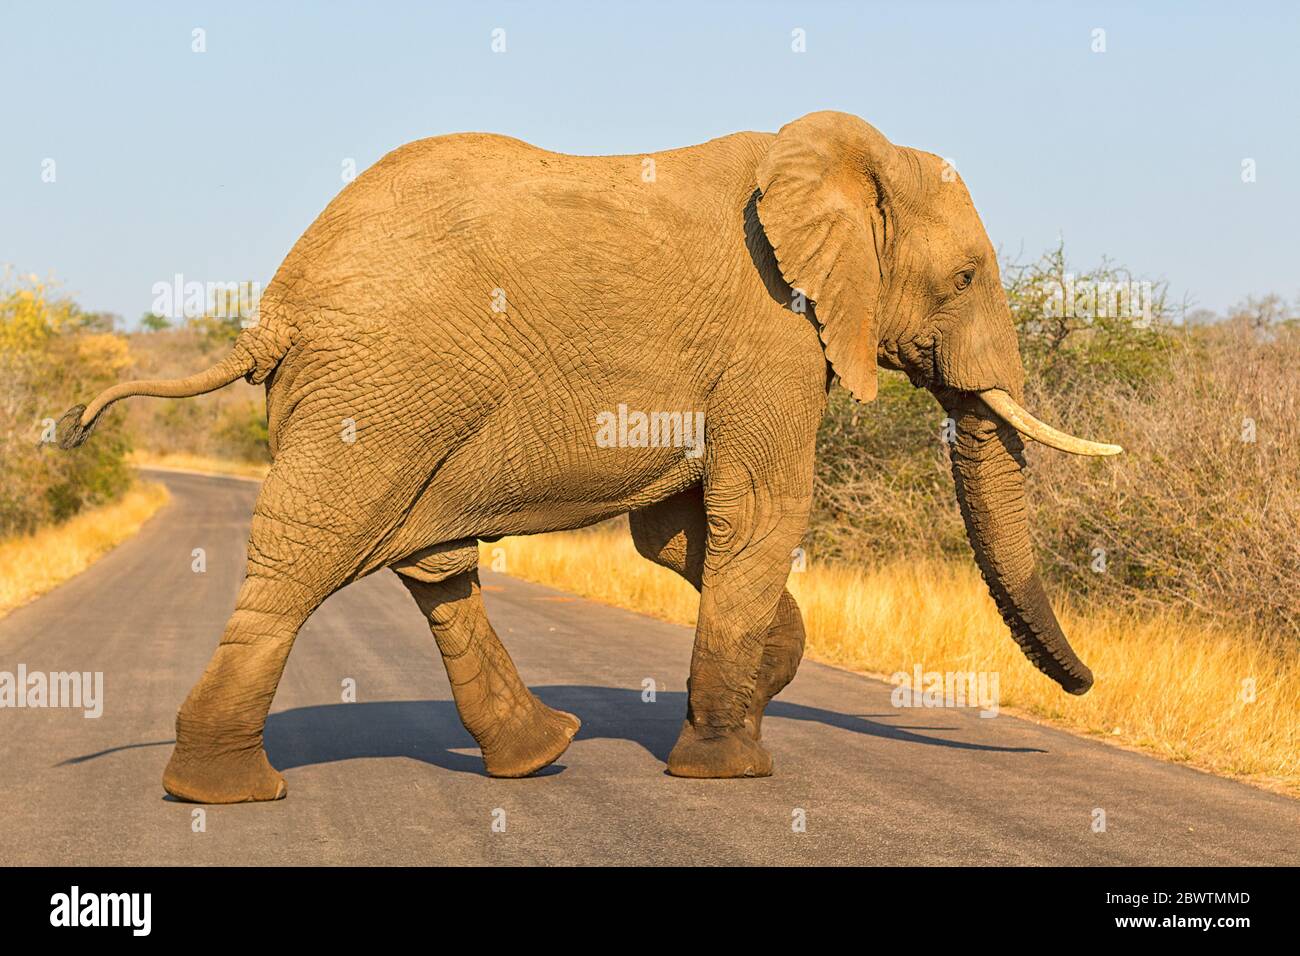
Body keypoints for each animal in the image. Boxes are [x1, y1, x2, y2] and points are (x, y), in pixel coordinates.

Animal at [58, 110, 1121, 803]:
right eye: (968, 277)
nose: (1090, 688)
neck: (844, 161)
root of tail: (275, 306)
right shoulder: (774, 333)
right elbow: (760, 511)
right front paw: (731, 766)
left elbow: (681, 535)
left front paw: (758, 684)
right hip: (380, 389)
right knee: (311, 552)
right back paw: (224, 791)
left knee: (430, 560)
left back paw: (537, 754)